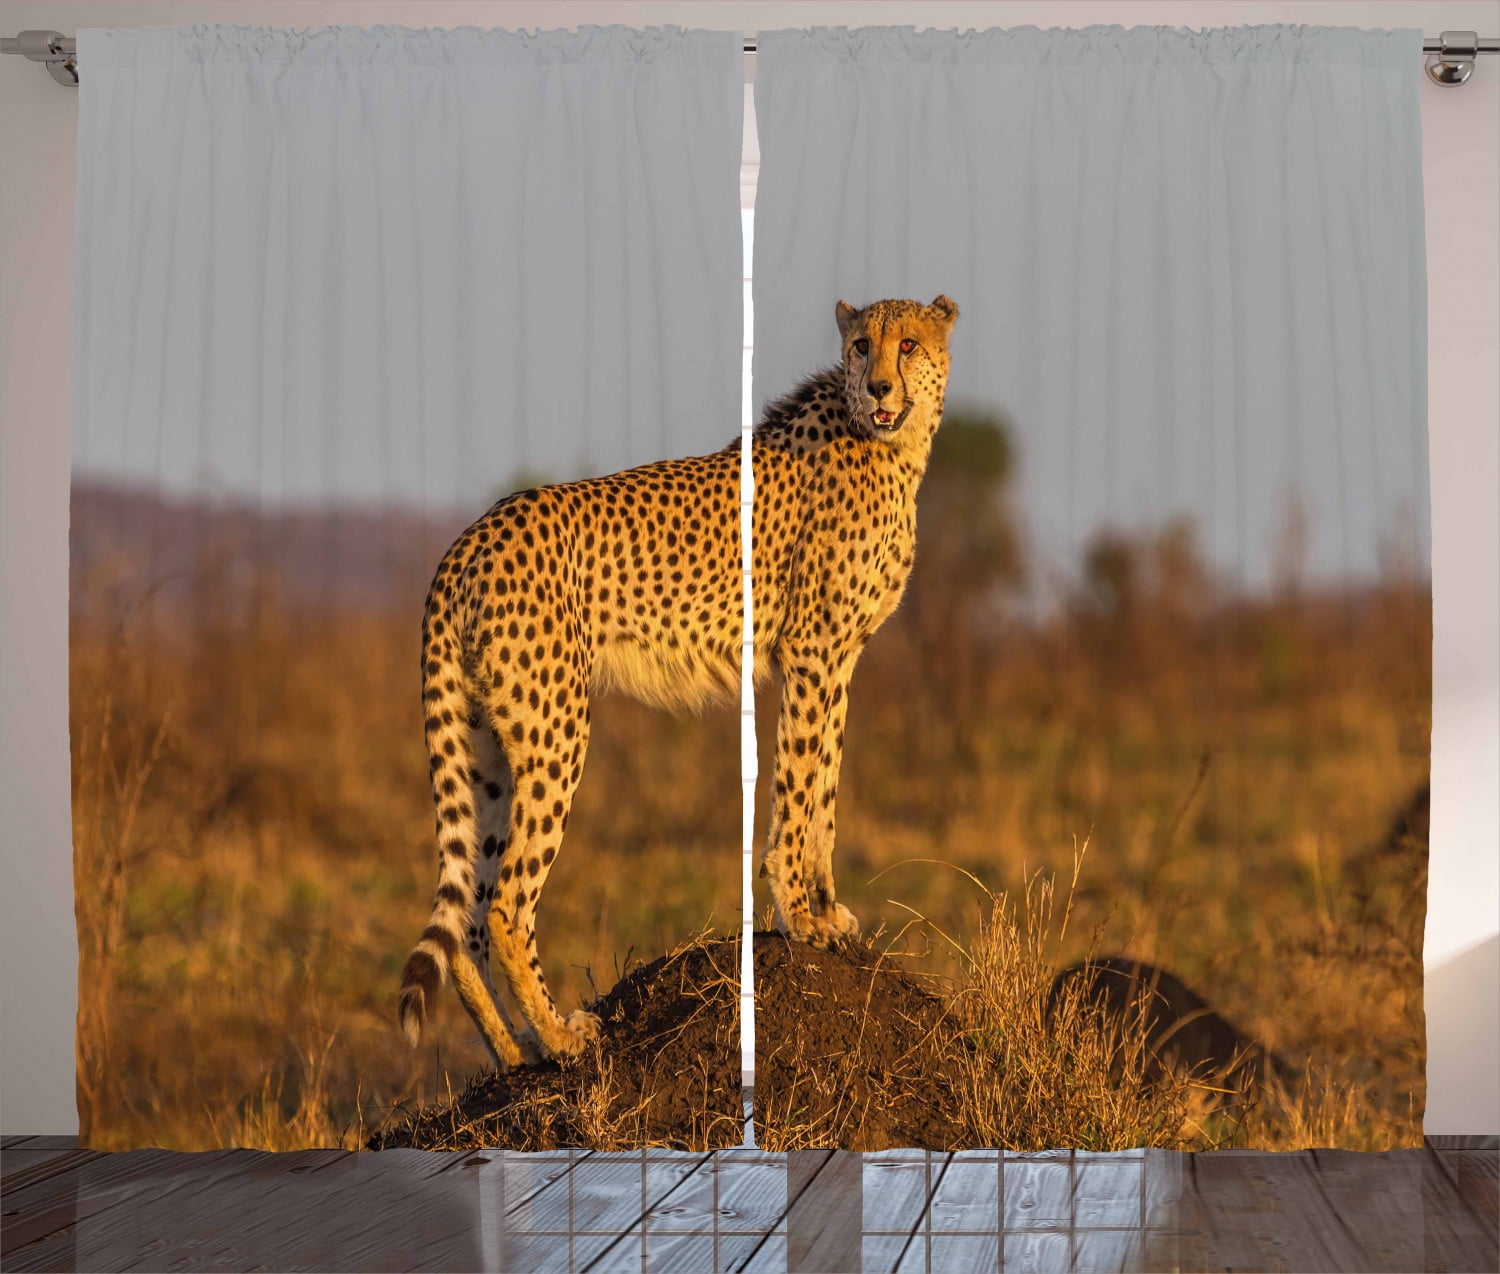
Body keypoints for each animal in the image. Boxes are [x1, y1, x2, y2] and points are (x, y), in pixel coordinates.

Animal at [399, 295, 958, 1069]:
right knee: (508, 904)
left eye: (908, 344)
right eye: (859, 346)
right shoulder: (810, 653)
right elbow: (798, 785)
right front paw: (799, 917)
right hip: (555, 731)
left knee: (470, 919)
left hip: (483, 747)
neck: (893, 446)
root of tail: (472, 537)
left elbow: (826, 789)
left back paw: (516, 1051)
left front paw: (826, 911)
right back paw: (562, 1036)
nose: (876, 386)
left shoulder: (841, 660)